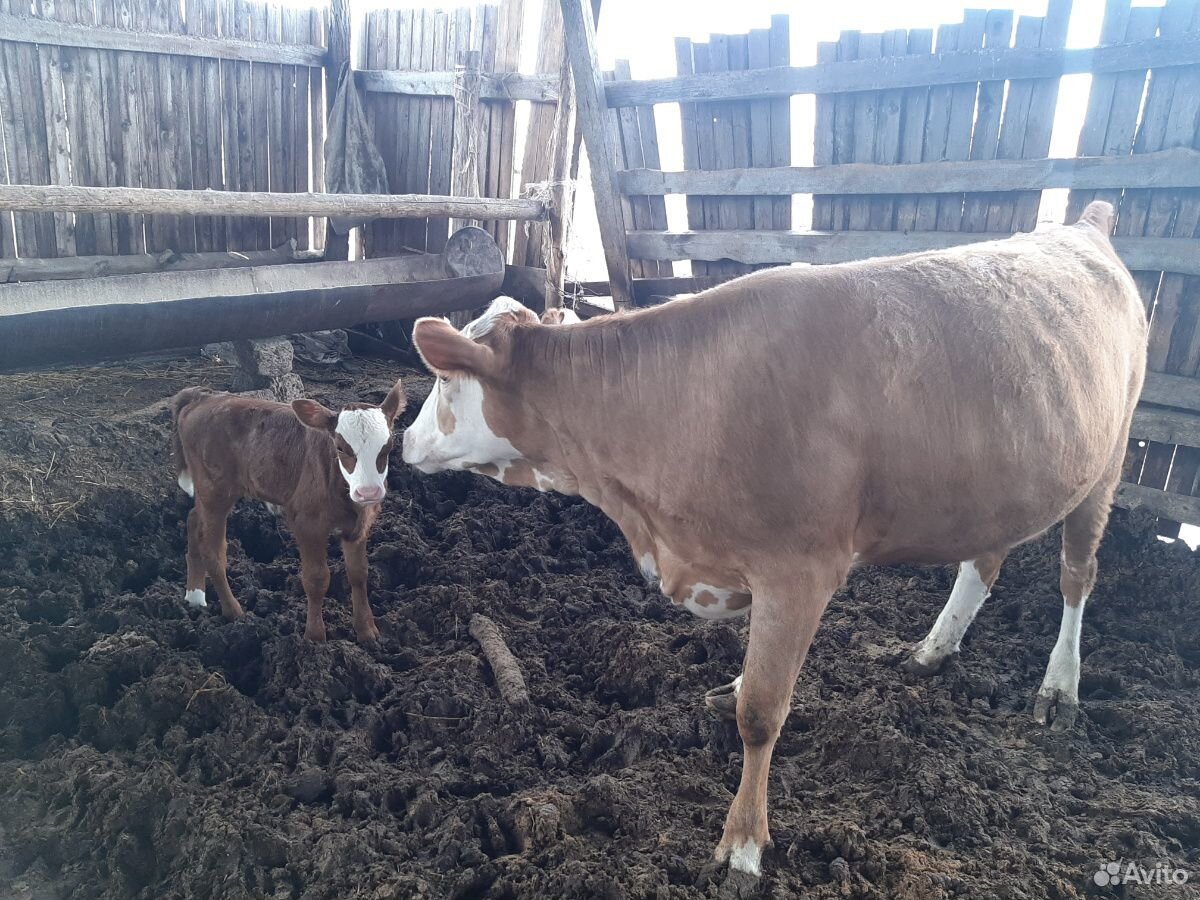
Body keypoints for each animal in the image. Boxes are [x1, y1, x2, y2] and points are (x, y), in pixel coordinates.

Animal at [170, 381, 406, 642]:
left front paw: (367, 631)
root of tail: (202, 397)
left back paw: (195, 595)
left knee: (193, 520)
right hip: (215, 490)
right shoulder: (307, 523)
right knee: (213, 549)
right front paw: (314, 637)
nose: (369, 492)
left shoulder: (360, 525)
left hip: (207, 492)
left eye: (388, 447)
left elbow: (359, 573)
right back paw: (234, 612)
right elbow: (316, 578)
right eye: (340, 447)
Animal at [400, 201, 1146, 876]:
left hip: (1107, 464)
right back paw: (932, 649)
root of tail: (1083, 227)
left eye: (442, 381)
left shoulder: (799, 570)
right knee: (984, 559)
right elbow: (751, 676)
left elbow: (761, 712)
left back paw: (1059, 688)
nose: (403, 441)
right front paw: (731, 685)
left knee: (1077, 574)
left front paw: (744, 845)